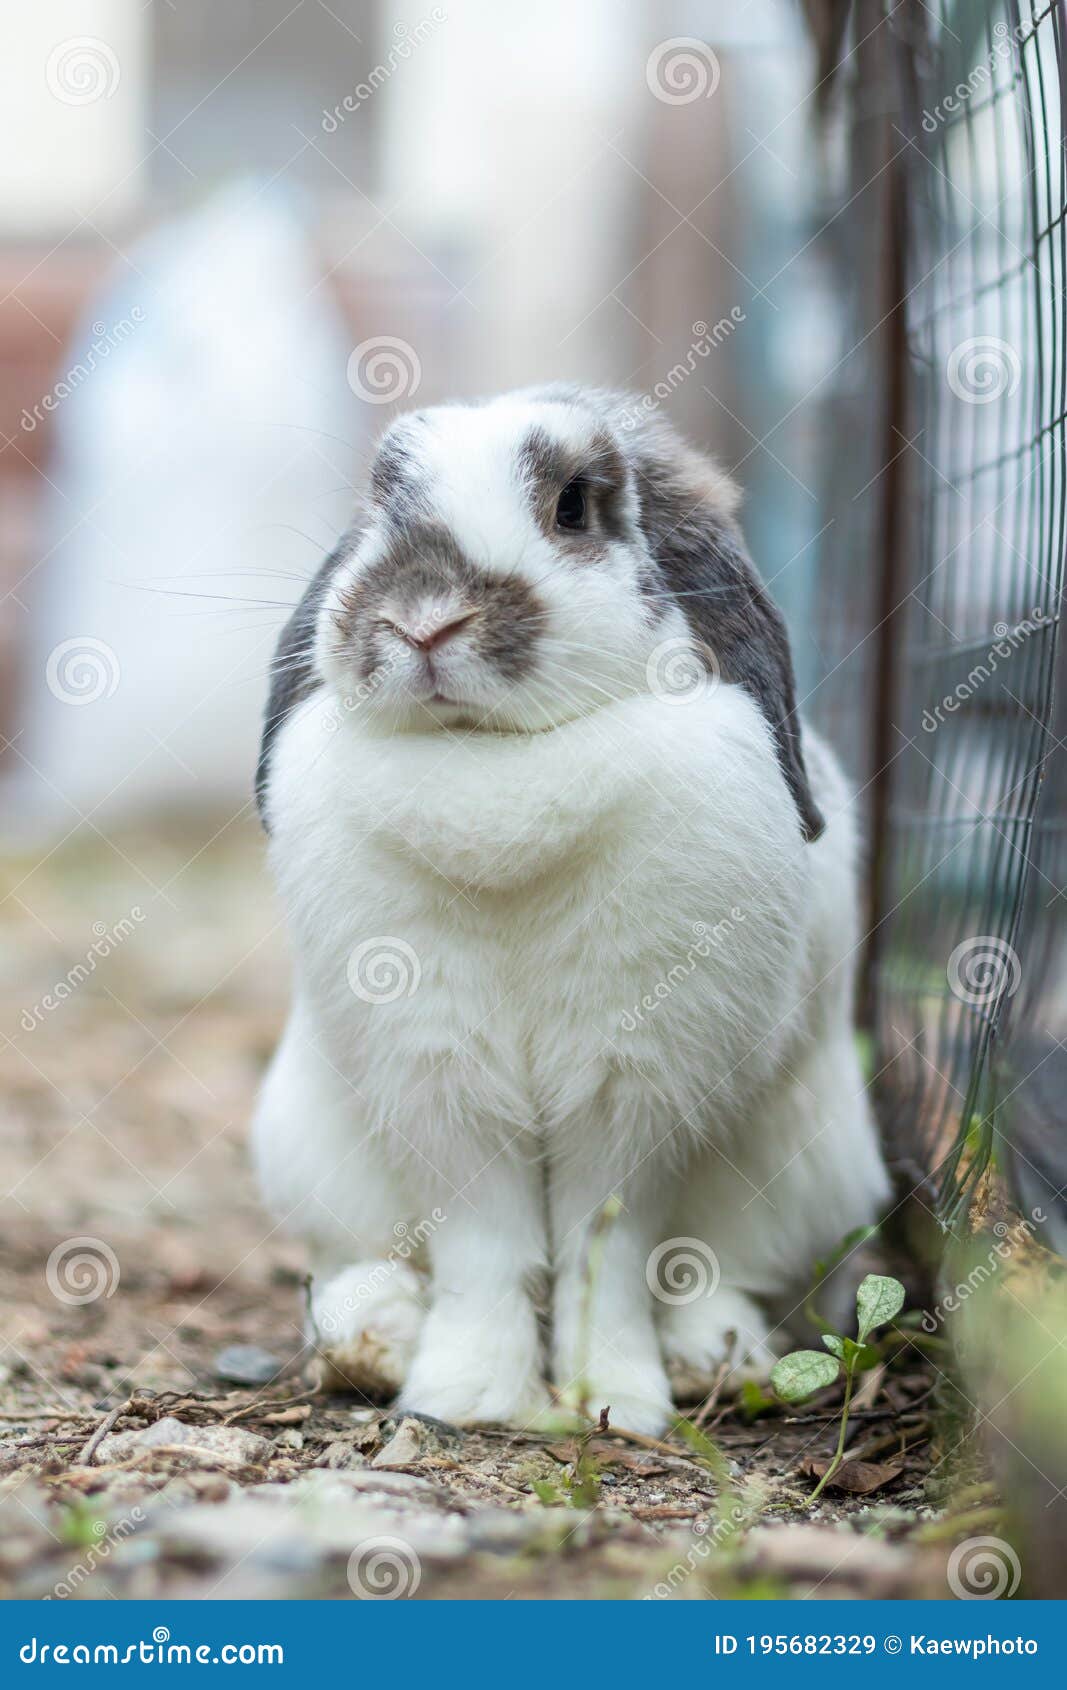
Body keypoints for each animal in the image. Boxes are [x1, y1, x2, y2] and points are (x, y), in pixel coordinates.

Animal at [251, 384, 891, 1435]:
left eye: (573, 507)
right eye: (382, 502)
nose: (425, 621)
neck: (496, 766)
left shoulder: (635, 1088)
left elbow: (609, 1249)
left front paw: (615, 1399)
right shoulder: (439, 1081)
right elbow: (484, 1246)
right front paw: (465, 1395)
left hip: (811, 1173)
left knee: (736, 1276)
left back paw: (718, 1362)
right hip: (312, 1158)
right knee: (357, 1262)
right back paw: (371, 1338)